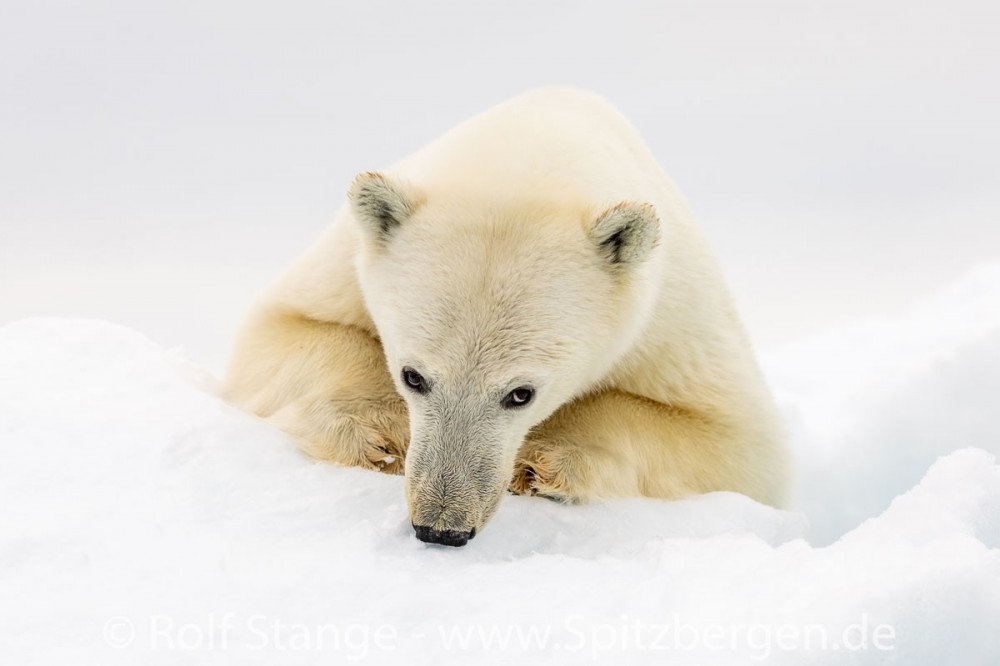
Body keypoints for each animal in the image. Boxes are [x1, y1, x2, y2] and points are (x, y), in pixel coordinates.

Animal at [223, 88, 789, 547]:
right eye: (412, 377)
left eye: (521, 394)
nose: (441, 527)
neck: (531, 155)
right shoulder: (347, 262)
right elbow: (275, 335)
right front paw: (377, 436)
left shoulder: (673, 317)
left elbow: (744, 447)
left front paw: (544, 462)